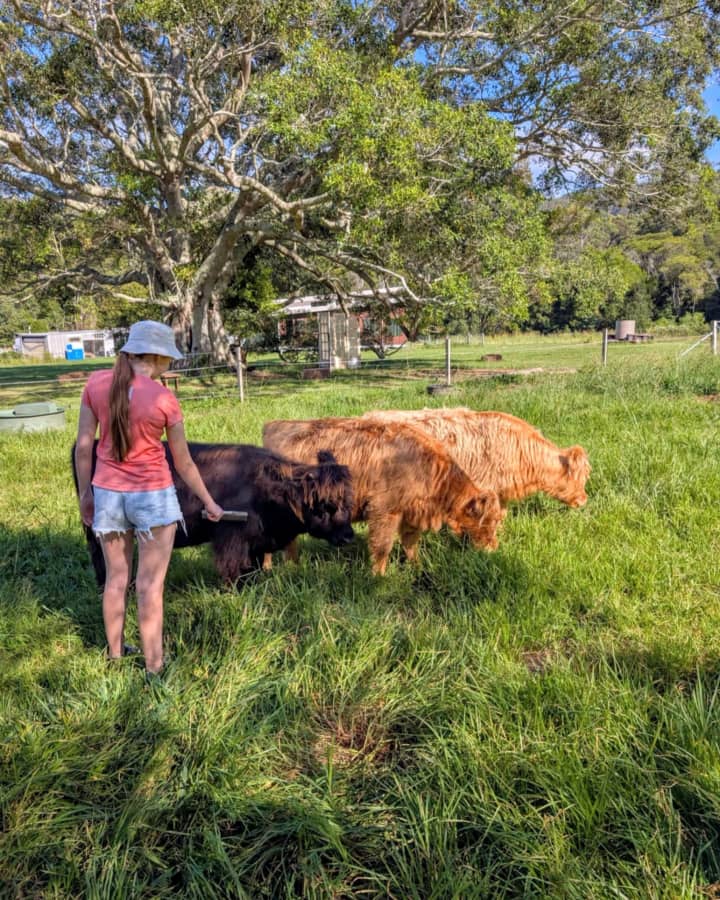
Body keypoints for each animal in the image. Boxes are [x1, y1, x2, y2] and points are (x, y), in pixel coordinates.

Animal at [72, 441, 355, 586]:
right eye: (326, 505)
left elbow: (252, 568)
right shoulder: (231, 540)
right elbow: (233, 569)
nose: (349, 536)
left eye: (348, 502)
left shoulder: (254, 543)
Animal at [262, 417, 503, 575]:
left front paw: (417, 566)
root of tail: (274, 425)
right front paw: (379, 577)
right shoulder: (385, 512)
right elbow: (382, 547)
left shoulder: (410, 514)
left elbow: (410, 543)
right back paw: (271, 569)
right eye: (488, 521)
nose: (493, 549)